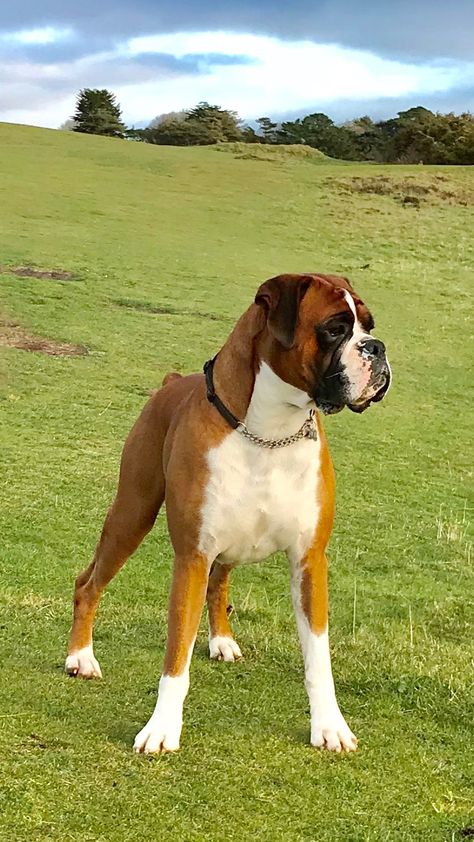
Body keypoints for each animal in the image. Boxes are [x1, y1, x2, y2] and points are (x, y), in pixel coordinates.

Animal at [65, 272, 388, 752]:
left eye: (368, 326)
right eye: (334, 329)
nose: (377, 348)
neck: (270, 429)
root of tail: (170, 382)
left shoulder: (309, 562)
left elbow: (318, 658)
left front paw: (330, 726)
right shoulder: (192, 557)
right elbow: (176, 657)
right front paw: (161, 729)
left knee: (220, 585)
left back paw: (221, 641)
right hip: (132, 515)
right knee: (88, 583)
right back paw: (80, 657)